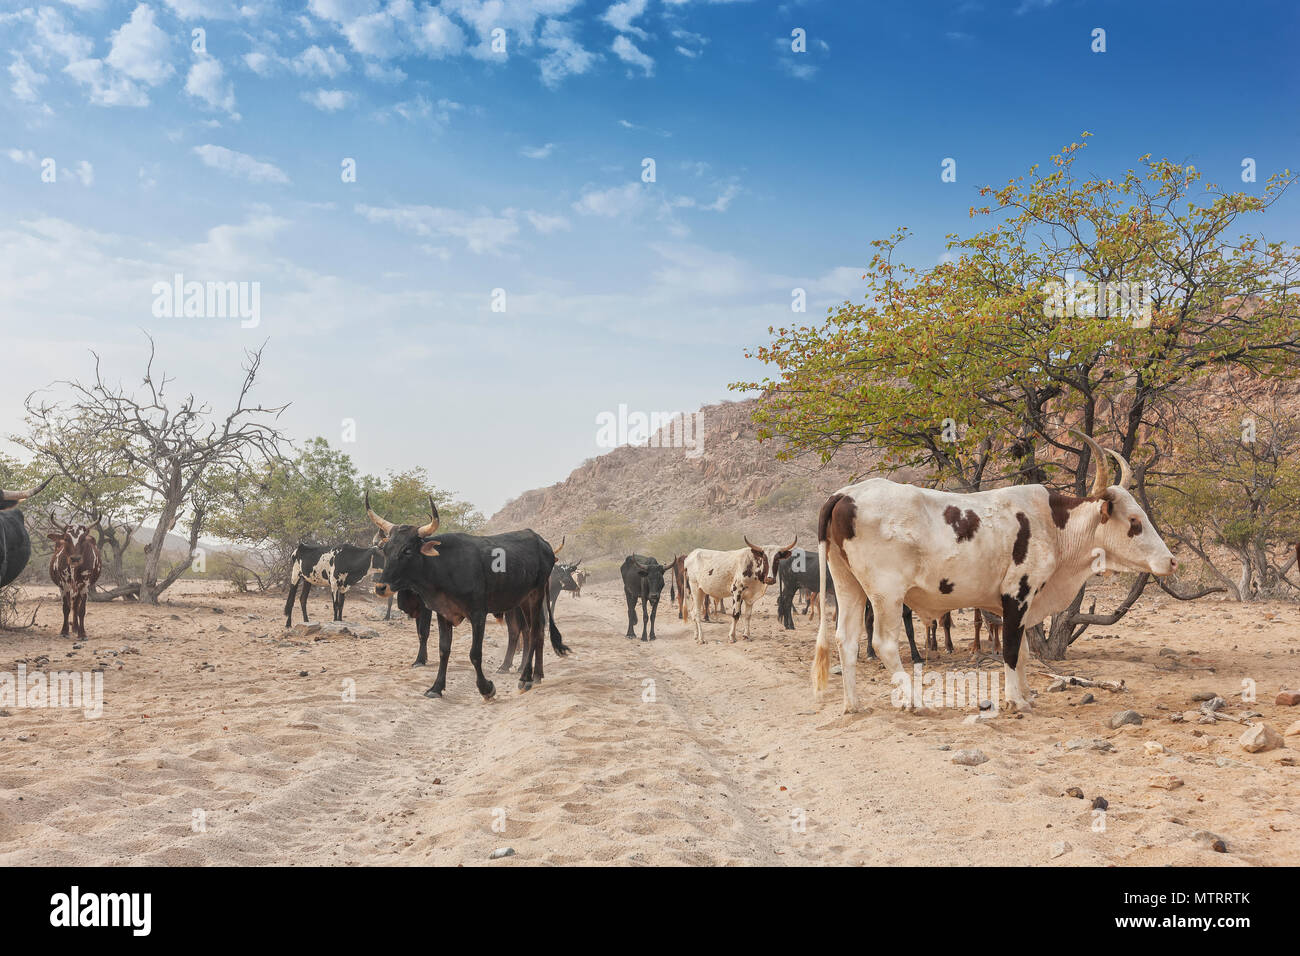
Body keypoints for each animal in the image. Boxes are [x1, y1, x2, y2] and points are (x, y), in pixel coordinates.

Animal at [367, 494, 567, 698]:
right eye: (386, 549)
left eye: (407, 550)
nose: (381, 587)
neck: (444, 567)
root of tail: (544, 544)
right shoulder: (443, 613)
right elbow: (444, 650)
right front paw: (436, 688)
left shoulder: (478, 614)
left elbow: (475, 653)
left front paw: (486, 688)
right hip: (525, 600)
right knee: (537, 630)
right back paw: (537, 675)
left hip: (536, 595)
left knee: (533, 632)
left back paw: (525, 678)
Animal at [812, 431, 1176, 714]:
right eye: (1134, 522)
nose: (1171, 561)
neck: (1053, 525)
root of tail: (845, 494)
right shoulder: (1017, 596)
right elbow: (1012, 650)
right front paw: (1016, 700)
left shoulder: (1023, 606)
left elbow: (1025, 652)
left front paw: (1026, 694)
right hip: (886, 594)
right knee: (884, 643)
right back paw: (914, 701)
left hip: (848, 586)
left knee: (846, 640)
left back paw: (853, 704)